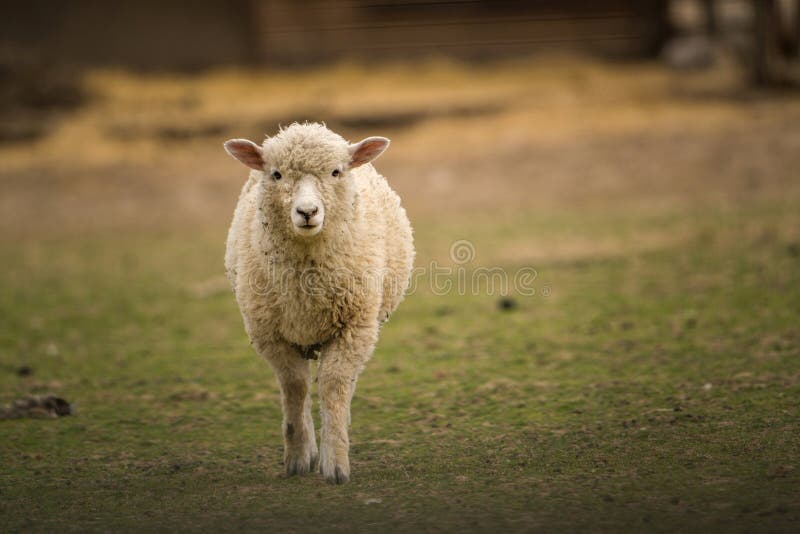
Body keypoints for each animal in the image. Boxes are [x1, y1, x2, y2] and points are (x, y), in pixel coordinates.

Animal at [223, 122, 414, 484]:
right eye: (277, 174)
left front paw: (335, 462)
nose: (307, 212)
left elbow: (334, 385)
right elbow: (294, 387)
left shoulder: (355, 328)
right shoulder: (270, 334)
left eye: (335, 172)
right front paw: (299, 456)